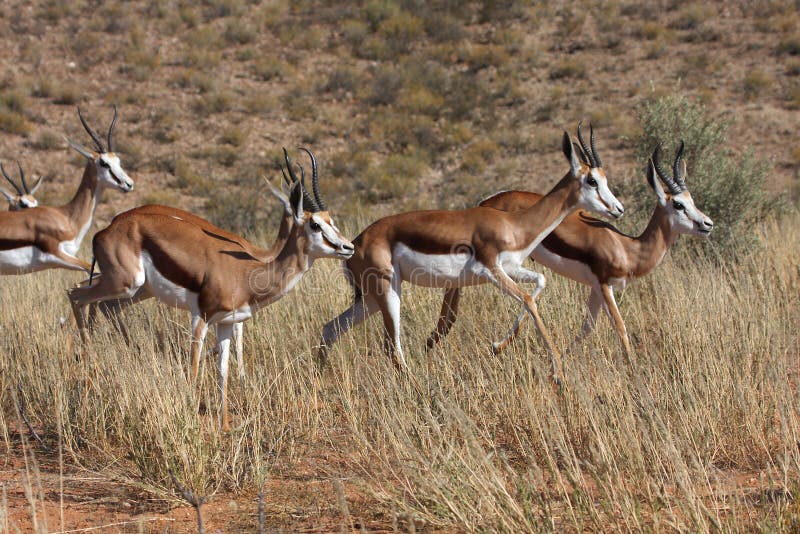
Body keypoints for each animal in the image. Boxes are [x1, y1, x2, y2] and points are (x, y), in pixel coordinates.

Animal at [68, 148, 354, 431]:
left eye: (331, 220)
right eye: (315, 225)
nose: (348, 247)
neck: (248, 271)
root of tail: (106, 229)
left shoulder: (226, 322)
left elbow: (223, 370)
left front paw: (225, 425)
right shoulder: (201, 317)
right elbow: (193, 368)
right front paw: (192, 420)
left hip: (133, 289)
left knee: (97, 302)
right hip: (126, 283)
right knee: (76, 295)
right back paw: (88, 368)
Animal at [318, 124, 624, 385]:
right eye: (592, 180)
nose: (617, 209)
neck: (514, 224)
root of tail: (355, 243)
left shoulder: (512, 268)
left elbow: (539, 284)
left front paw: (498, 346)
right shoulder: (491, 271)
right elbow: (528, 300)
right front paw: (557, 373)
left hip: (372, 298)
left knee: (330, 329)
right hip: (387, 293)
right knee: (392, 348)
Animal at [428, 142, 714, 358]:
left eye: (692, 200)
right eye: (678, 204)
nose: (707, 224)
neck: (627, 247)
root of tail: (487, 201)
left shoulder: (596, 288)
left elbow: (587, 327)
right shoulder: (604, 284)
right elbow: (620, 328)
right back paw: (440, 337)